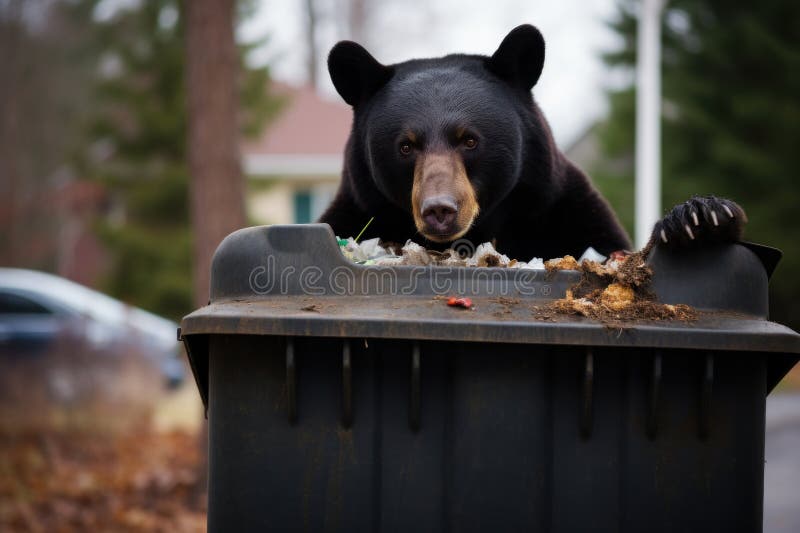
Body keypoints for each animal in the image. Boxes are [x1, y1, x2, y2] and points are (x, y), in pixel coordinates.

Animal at [319, 24, 746, 261]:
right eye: (405, 146)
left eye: (469, 140)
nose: (439, 210)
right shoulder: (357, 209)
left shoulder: (558, 207)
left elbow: (611, 245)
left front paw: (699, 218)